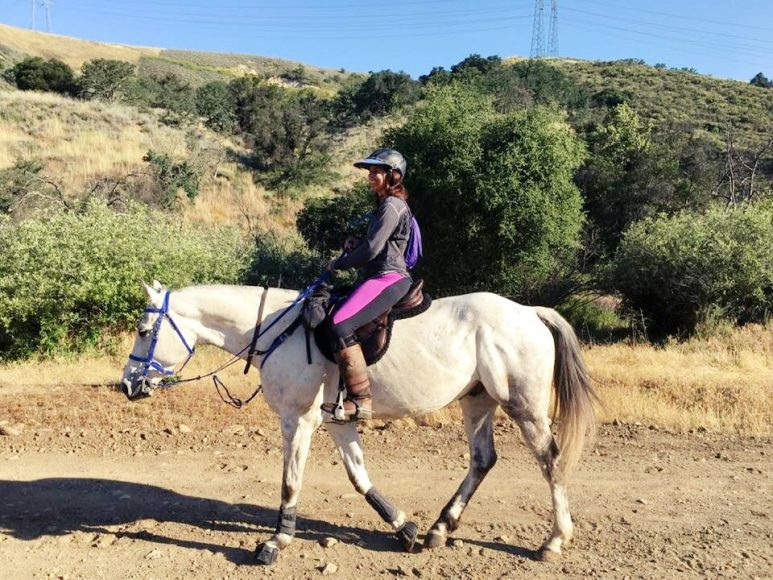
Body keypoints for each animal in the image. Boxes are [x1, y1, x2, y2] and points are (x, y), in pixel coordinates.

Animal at [120, 281, 599, 565]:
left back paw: (554, 540)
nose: (127, 384)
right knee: (483, 460)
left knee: (550, 461)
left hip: (523, 406)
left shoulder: (298, 419)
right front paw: (403, 527)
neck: (278, 330)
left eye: (144, 330)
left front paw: (277, 541)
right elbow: (358, 475)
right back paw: (439, 529)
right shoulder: (335, 421)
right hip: (477, 401)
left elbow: (290, 482)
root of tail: (529, 312)